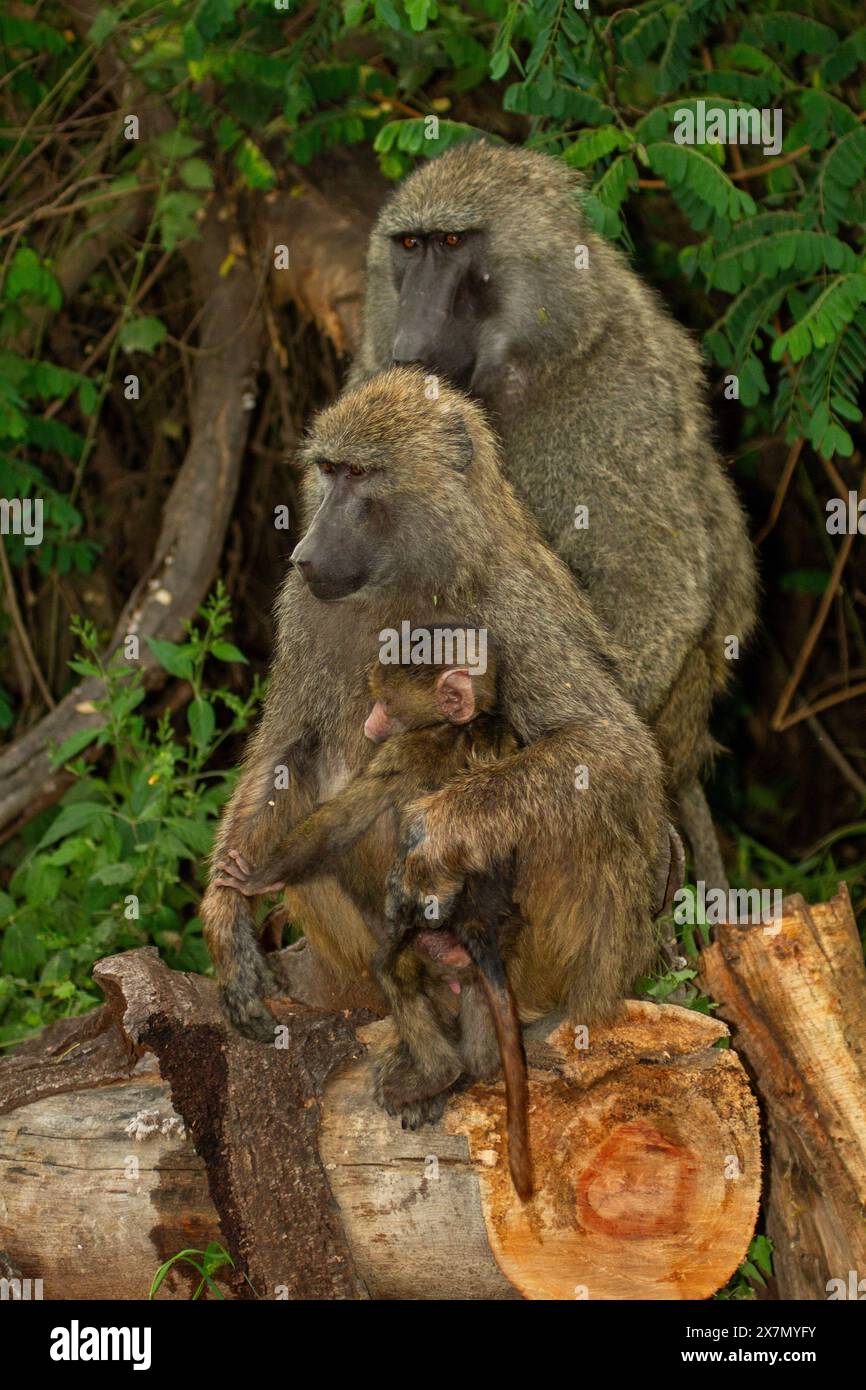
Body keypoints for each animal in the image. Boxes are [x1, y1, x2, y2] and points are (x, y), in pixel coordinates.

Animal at [201, 366, 669, 1134]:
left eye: (360, 475)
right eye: (327, 470)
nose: (304, 554)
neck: (410, 576)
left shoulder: (513, 603)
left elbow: (609, 747)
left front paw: (433, 827)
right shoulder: (305, 610)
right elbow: (287, 748)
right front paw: (224, 913)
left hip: (539, 964)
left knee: (588, 814)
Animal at [212, 630, 533, 1198]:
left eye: (386, 702)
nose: (370, 722)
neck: (465, 726)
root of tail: (474, 925)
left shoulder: (402, 750)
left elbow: (342, 819)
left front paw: (259, 878)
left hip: (421, 942)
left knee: (386, 960)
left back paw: (435, 1071)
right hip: (483, 948)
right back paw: (474, 1065)